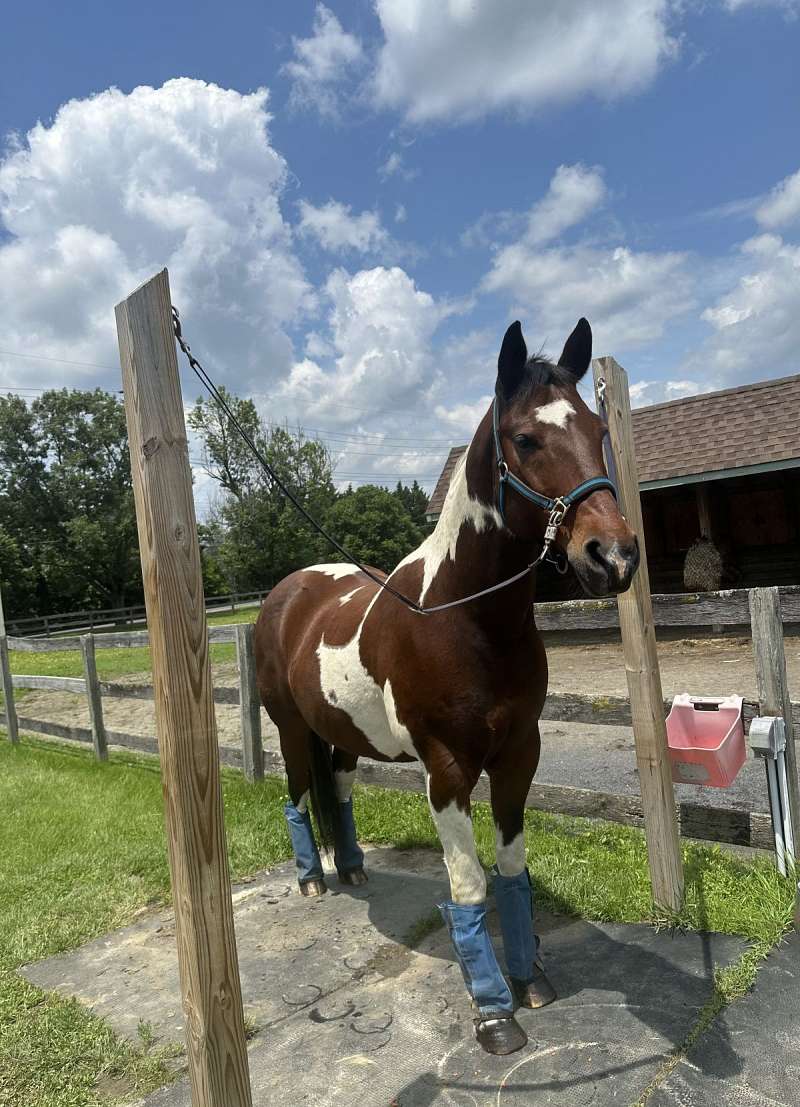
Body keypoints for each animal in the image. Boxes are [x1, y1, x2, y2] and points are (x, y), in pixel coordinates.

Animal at [254, 317, 639, 1055]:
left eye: (598, 427)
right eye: (526, 439)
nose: (613, 556)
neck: (464, 616)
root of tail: (287, 592)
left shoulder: (519, 755)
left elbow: (512, 875)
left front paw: (529, 981)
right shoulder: (448, 770)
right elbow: (467, 888)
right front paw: (492, 1013)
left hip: (343, 734)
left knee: (338, 791)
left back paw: (352, 867)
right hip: (290, 728)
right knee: (296, 794)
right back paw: (313, 880)